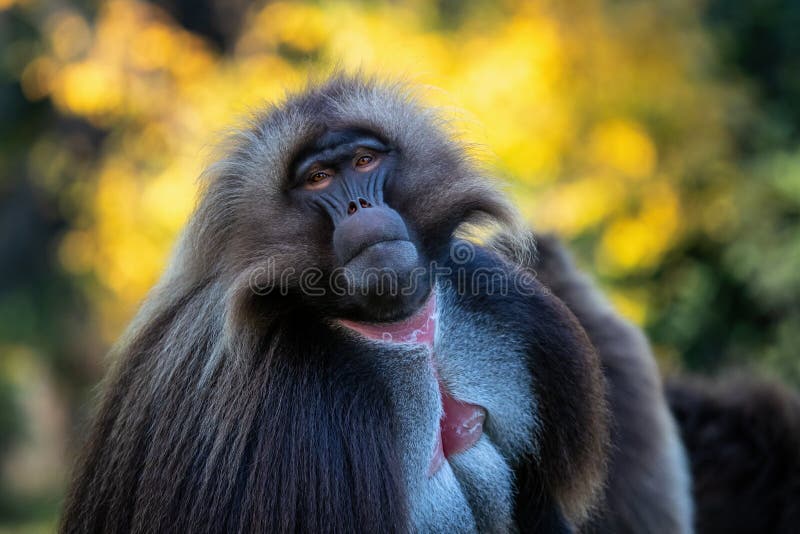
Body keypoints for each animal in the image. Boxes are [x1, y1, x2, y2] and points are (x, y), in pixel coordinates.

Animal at [60, 75, 694, 533]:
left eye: (365, 161)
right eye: (318, 177)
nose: (361, 206)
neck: (389, 324)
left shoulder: (496, 298)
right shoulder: (291, 409)